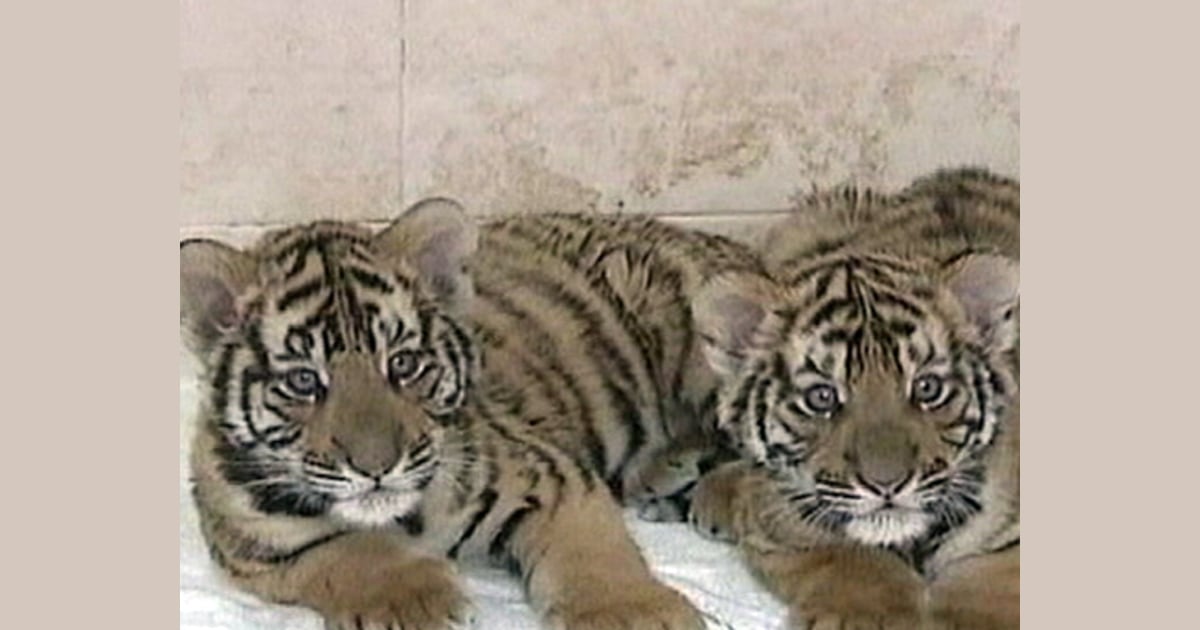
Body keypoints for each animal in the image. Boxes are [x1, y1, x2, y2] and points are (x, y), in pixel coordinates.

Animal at [179, 197, 767, 630]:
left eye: (403, 363)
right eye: (304, 380)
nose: (377, 468)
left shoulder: (548, 476)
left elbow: (595, 555)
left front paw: (632, 614)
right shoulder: (250, 542)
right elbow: (346, 551)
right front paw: (417, 601)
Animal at [685, 168, 1019, 629]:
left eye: (927, 388)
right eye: (822, 397)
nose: (887, 484)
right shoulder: (792, 524)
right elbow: (847, 556)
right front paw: (864, 617)